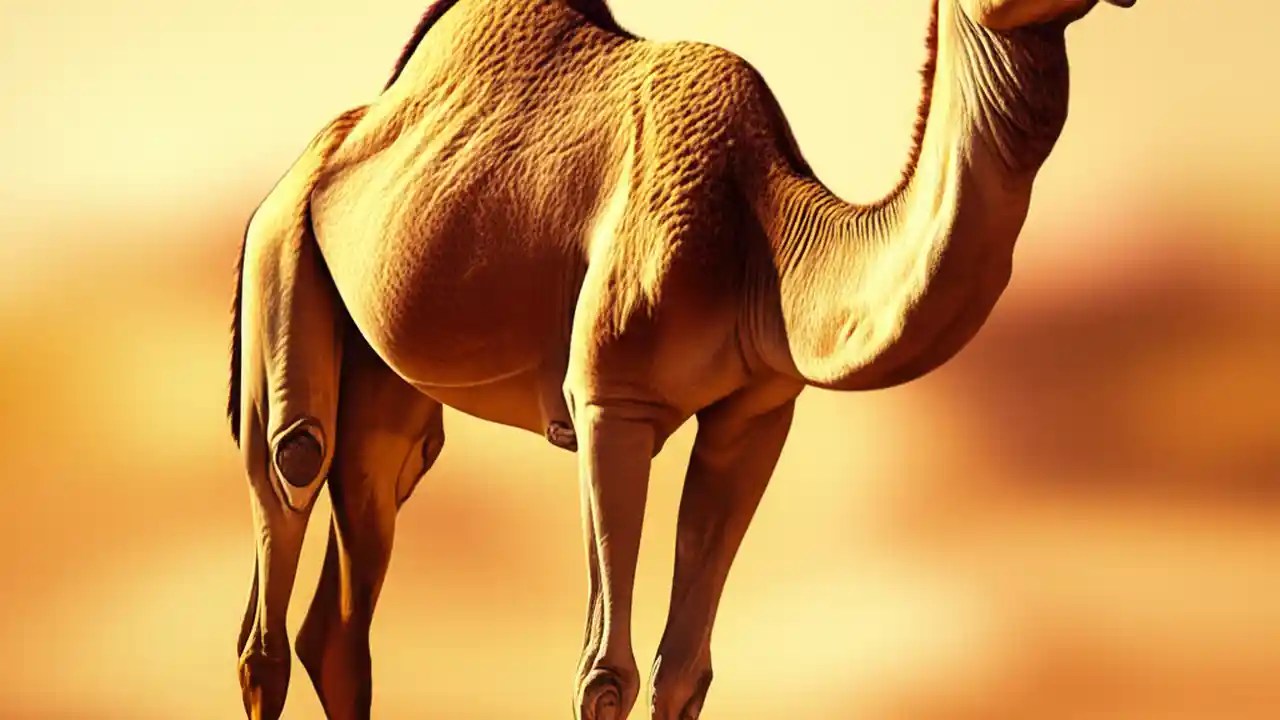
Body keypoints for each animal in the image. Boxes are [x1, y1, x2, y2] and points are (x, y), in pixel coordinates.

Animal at [229, 0, 1138, 717]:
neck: (767, 249)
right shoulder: (610, 399)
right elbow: (605, 677)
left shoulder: (755, 415)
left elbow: (684, 673)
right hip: (279, 245)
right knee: (292, 476)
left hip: (385, 375)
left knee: (359, 555)